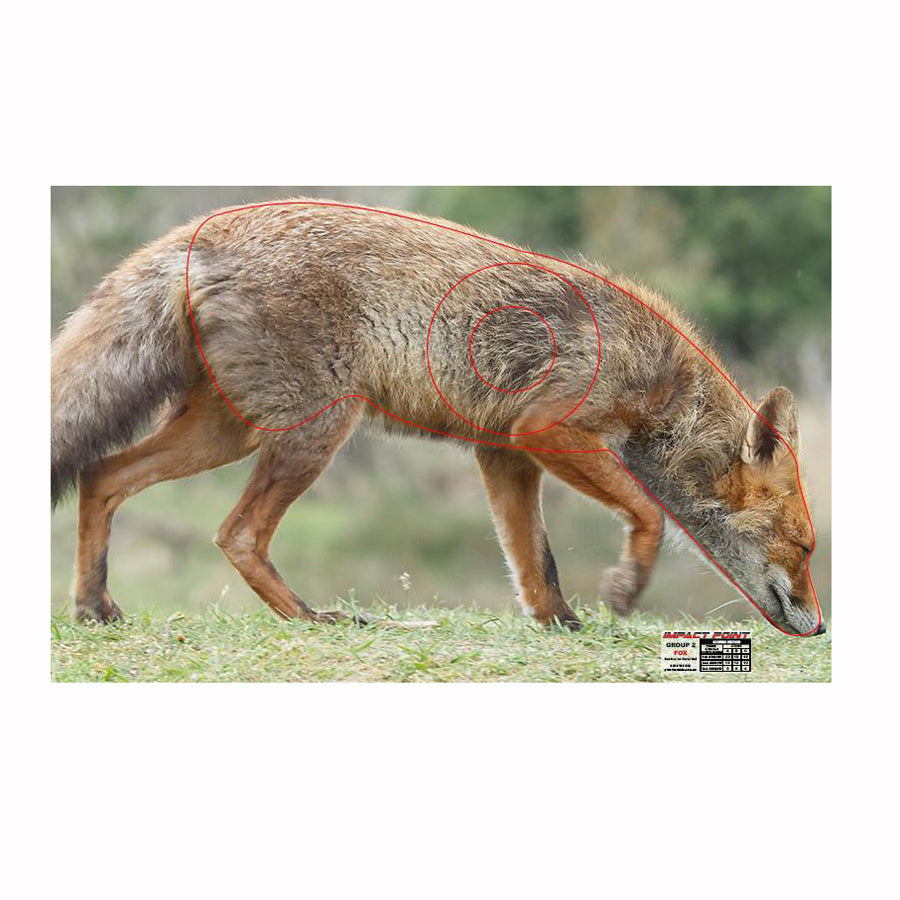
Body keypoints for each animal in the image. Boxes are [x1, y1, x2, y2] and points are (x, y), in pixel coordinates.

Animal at [50, 199, 824, 636]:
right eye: (806, 547)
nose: (819, 628)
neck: (665, 380)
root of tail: (193, 233)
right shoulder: (544, 429)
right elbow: (649, 515)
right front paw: (626, 589)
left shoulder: (502, 451)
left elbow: (535, 564)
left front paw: (562, 627)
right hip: (312, 433)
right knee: (234, 534)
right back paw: (313, 620)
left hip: (228, 432)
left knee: (101, 475)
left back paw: (94, 607)